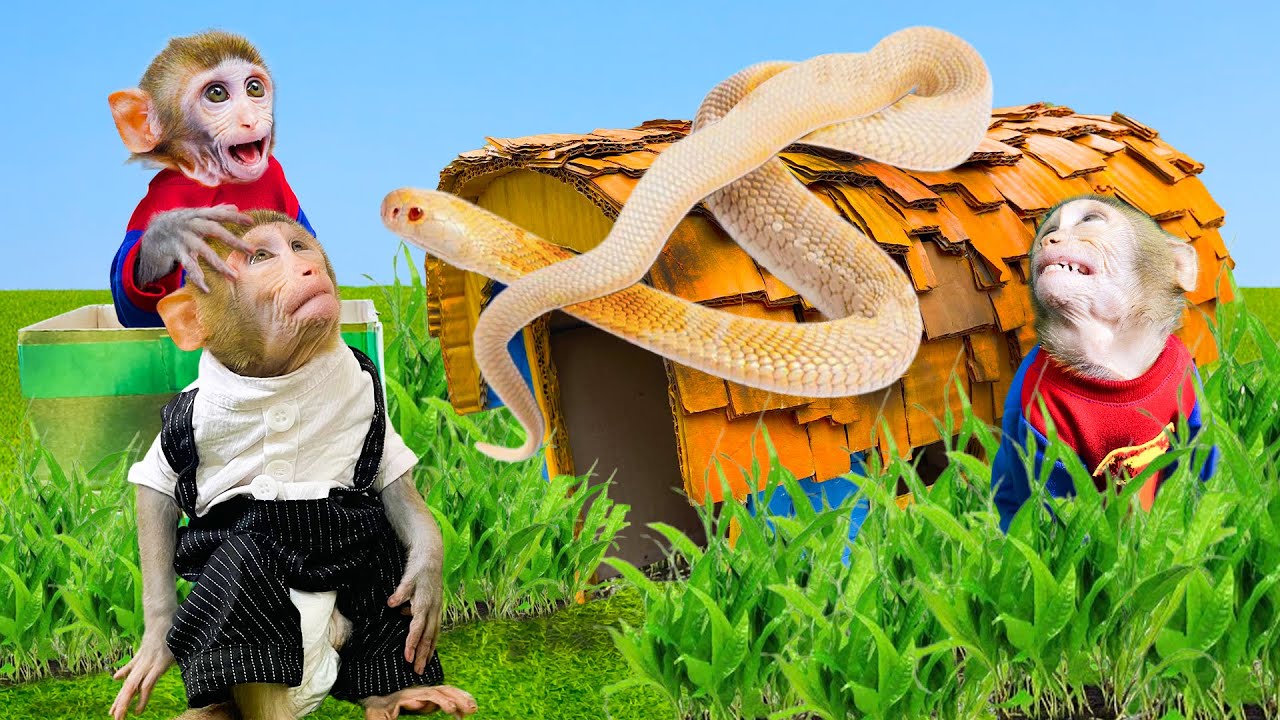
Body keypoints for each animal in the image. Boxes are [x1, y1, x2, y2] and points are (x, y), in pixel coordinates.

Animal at [108, 30, 316, 329]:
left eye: (254, 88)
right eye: (217, 94)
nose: (250, 120)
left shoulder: (277, 175)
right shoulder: (159, 196)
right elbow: (135, 313)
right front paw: (171, 234)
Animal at [110, 212, 477, 720]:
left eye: (299, 247)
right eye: (262, 257)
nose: (307, 268)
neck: (278, 380)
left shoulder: (371, 405)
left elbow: (394, 489)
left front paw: (426, 572)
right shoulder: (184, 417)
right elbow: (157, 492)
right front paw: (155, 643)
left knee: (377, 541)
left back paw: (396, 690)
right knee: (238, 567)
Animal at [990, 194, 1219, 532]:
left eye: (1090, 221)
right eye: (1052, 229)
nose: (1049, 240)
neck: (1115, 356)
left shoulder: (1185, 377)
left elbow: (1199, 454)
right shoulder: (1035, 410)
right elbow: (1059, 497)